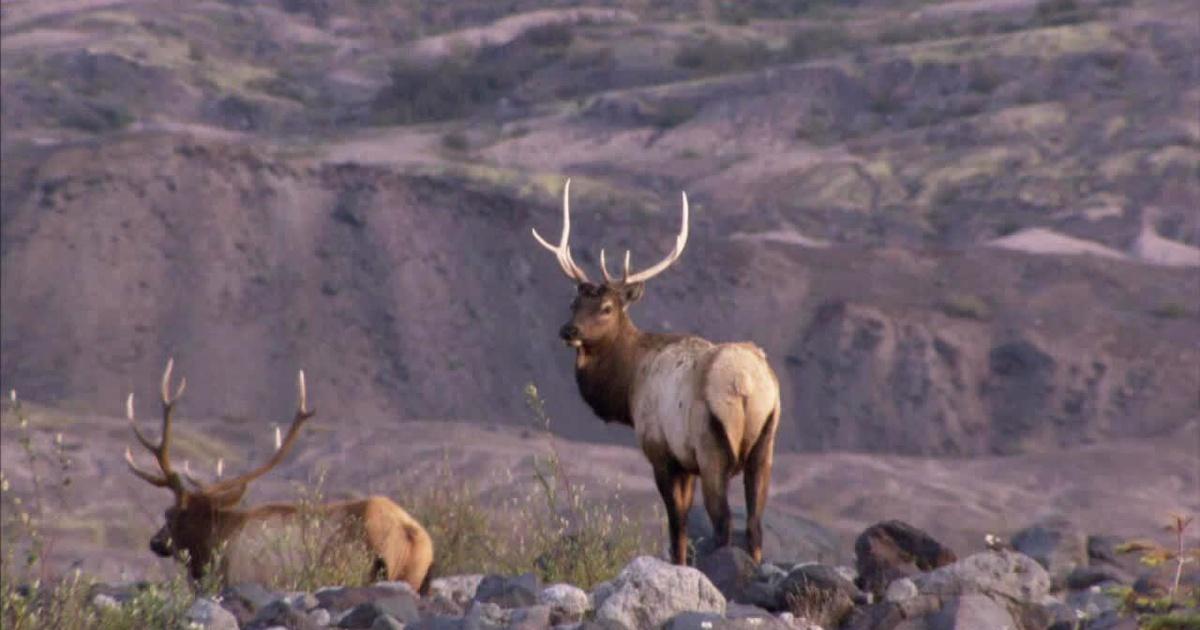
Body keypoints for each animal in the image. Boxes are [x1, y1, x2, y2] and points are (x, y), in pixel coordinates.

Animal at [124, 359, 434, 592]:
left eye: (169, 514)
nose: (155, 542)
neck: (215, 542)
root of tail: (409, 535)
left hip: (350, 563)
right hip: (413, 576)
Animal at [530, 180, 781, 565]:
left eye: (607, 307)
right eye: (574, 302)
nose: (568, 330)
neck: (629, 386)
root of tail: (746, 385)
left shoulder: (661, 450)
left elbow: (676, 525)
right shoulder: (686, 463)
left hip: (711, 445)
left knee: (723, 521)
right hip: (765, 441)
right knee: (755, 523)